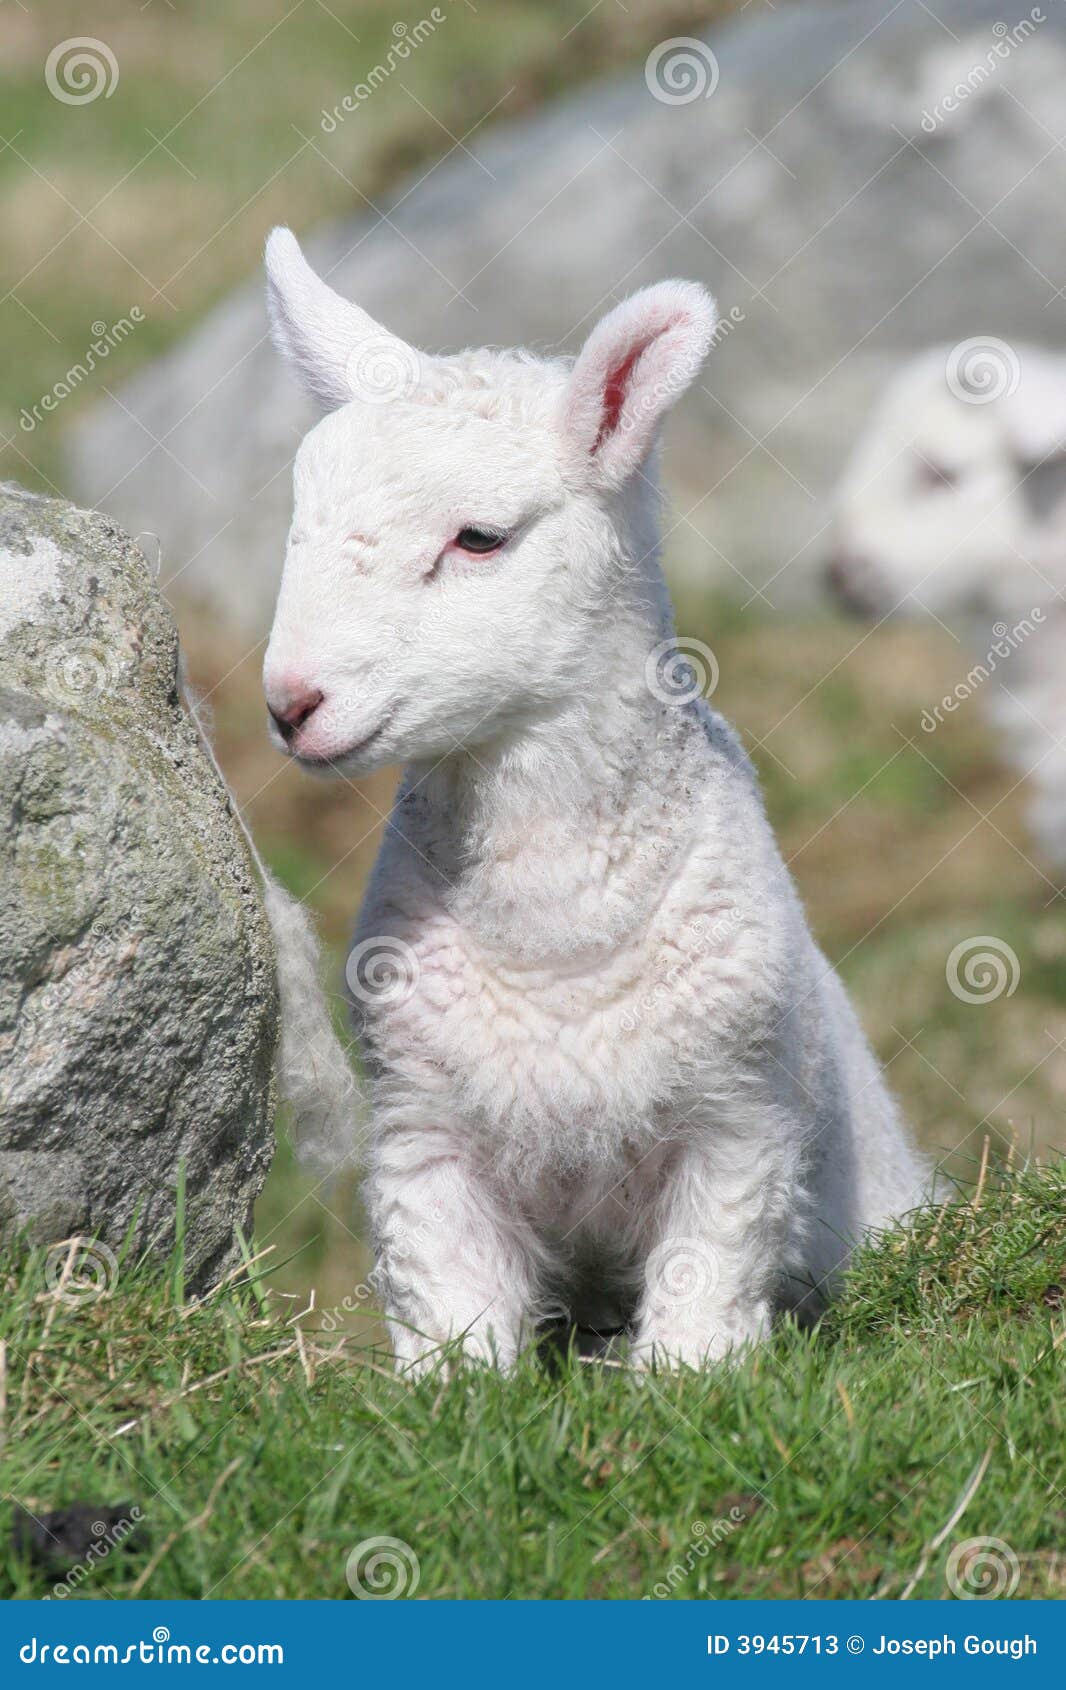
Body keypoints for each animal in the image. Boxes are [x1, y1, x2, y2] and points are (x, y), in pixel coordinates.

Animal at [260, 226, 930, 1371]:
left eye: (479, 538)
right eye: (295, 525)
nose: (291, 702)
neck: (554, 940)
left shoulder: (737, 1123)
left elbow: (703, 1298)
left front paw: (686, 1384)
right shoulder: (422, 1133)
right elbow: (450, 1317)